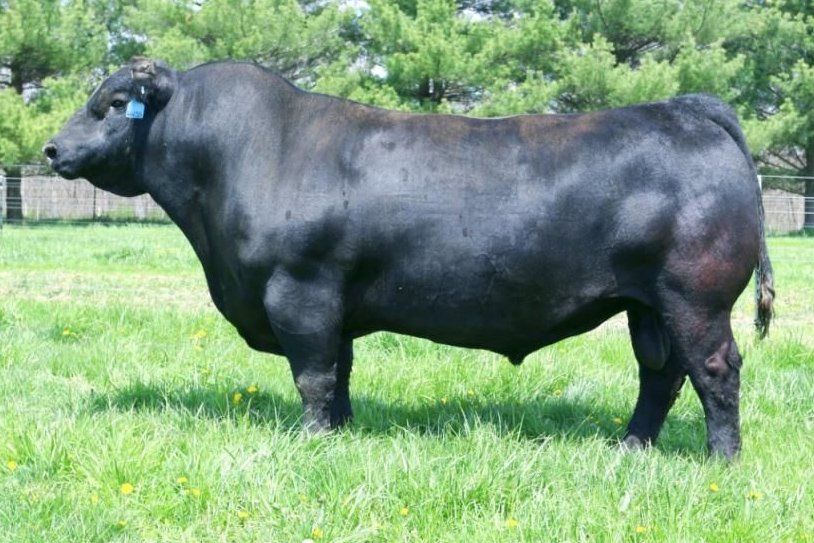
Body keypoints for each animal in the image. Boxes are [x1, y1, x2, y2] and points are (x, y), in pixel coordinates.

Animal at [44, 58, 774, 459]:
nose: (52, 148)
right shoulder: (334, 305)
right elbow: (339, 373)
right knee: (661, 373)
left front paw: (311, 441)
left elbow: (313, 376)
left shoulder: (300, 292)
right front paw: (340, 434)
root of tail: (688, 108)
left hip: (695, 296)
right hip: (646, 303)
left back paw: (722, 459)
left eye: (113, 104)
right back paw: (631, 445)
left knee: (714, 369)